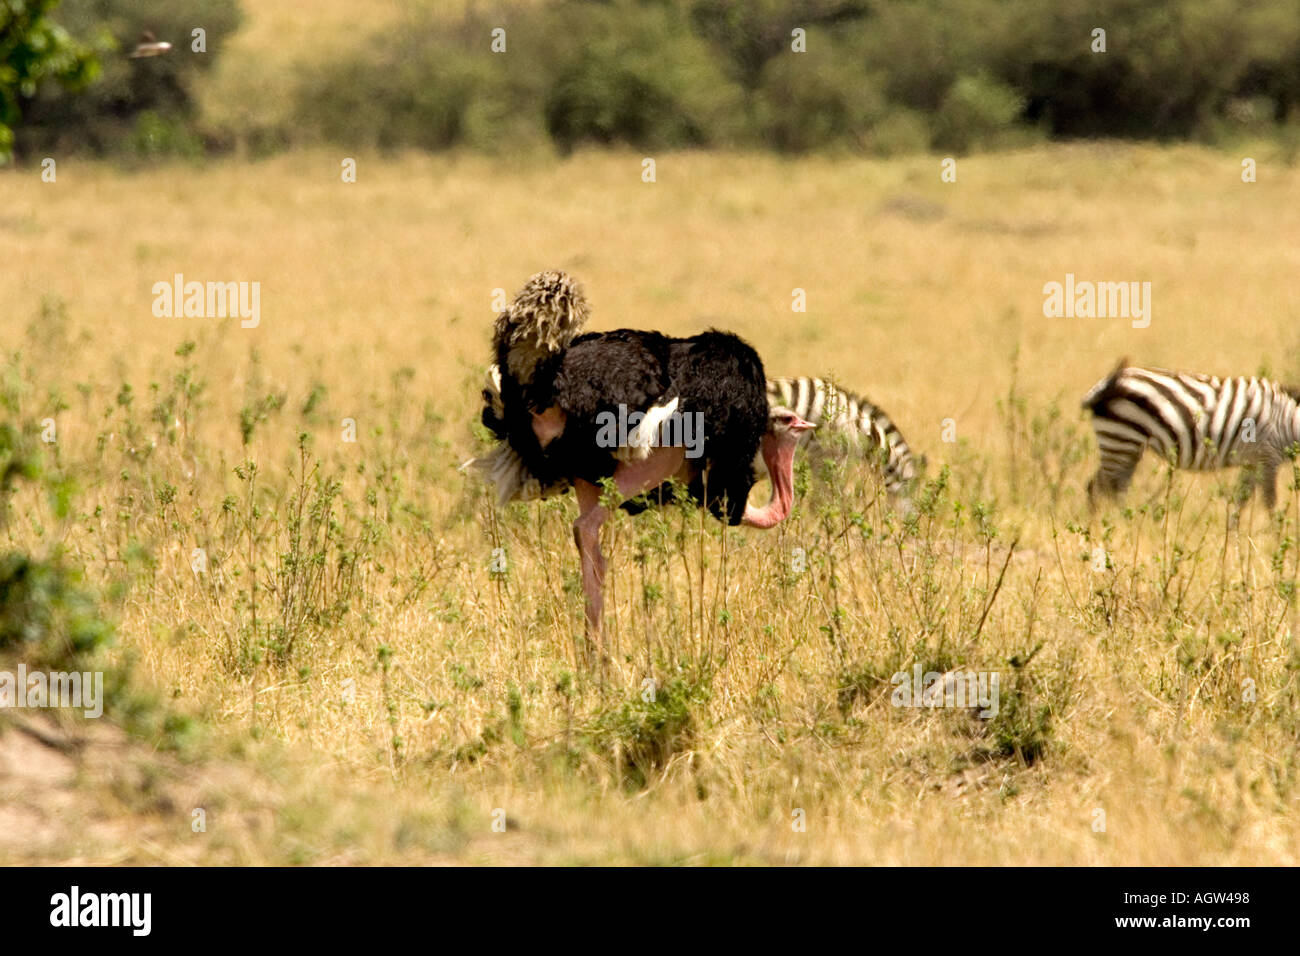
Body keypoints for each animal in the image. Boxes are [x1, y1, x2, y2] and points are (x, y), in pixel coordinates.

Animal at [1082, 358, 1300, 509]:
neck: (1288, 419)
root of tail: (1104, 384)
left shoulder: (1253, 462)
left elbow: (1241, 502)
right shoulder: (1268, 456)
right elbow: (1270, 504)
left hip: (1126, 447)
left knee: (1109, 488)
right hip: (1120, 441)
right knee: (1097, 489)